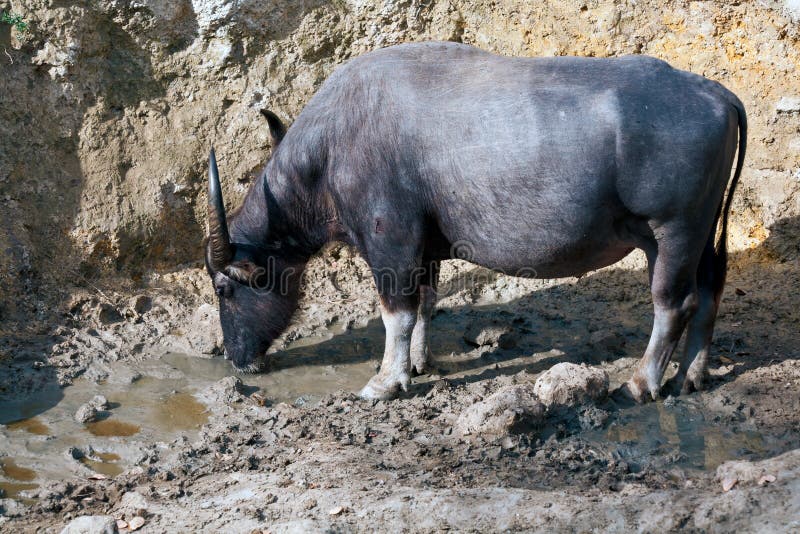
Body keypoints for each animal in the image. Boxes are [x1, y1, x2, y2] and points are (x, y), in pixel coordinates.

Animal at [204, 41, 746, 403]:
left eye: (223, 289)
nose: (236, 358)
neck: (334, 146)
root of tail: (717, 94)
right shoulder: (425, 248)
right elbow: (425, 302)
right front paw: (419, 363)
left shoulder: (391, 242)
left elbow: (397, 313)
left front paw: (386, 380)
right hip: (697, 235)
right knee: (709, 293)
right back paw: (692, 374)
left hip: (673, 231)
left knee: (674, 304)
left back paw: (641, 381)